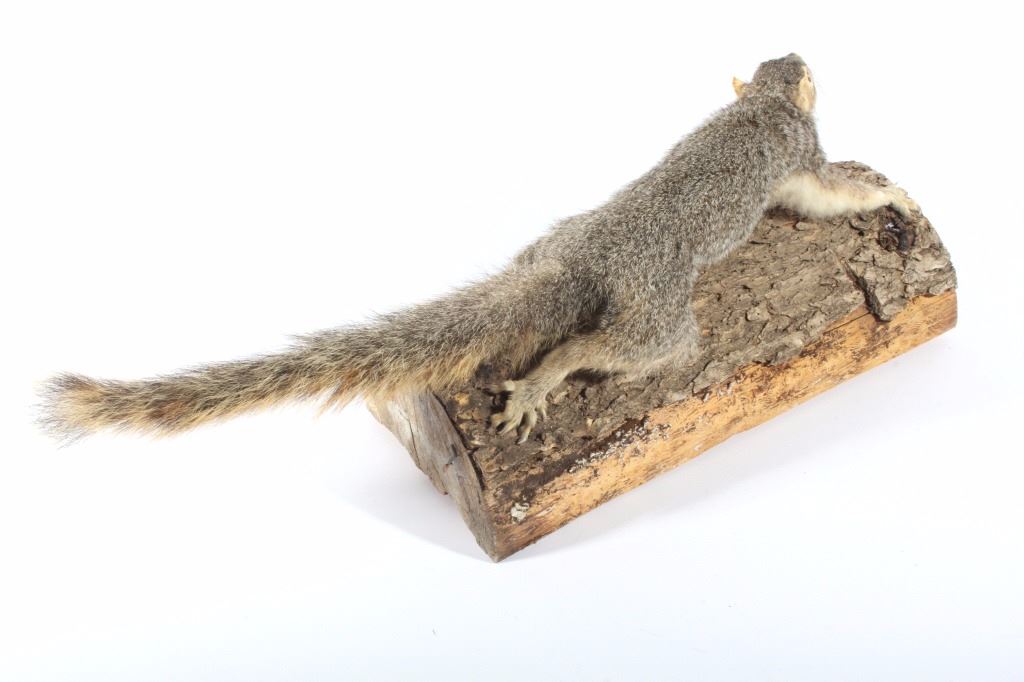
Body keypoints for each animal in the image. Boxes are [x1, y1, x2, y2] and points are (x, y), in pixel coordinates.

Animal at [41, 54, 918, 444]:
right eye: (797, 67)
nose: (801, 57)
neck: (761, 105)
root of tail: (586, 259)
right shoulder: (800, 154)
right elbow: (828, 193)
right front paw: (890, 198)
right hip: (659, 312)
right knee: (614, 348)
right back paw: (543, 380)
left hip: (561, 243)